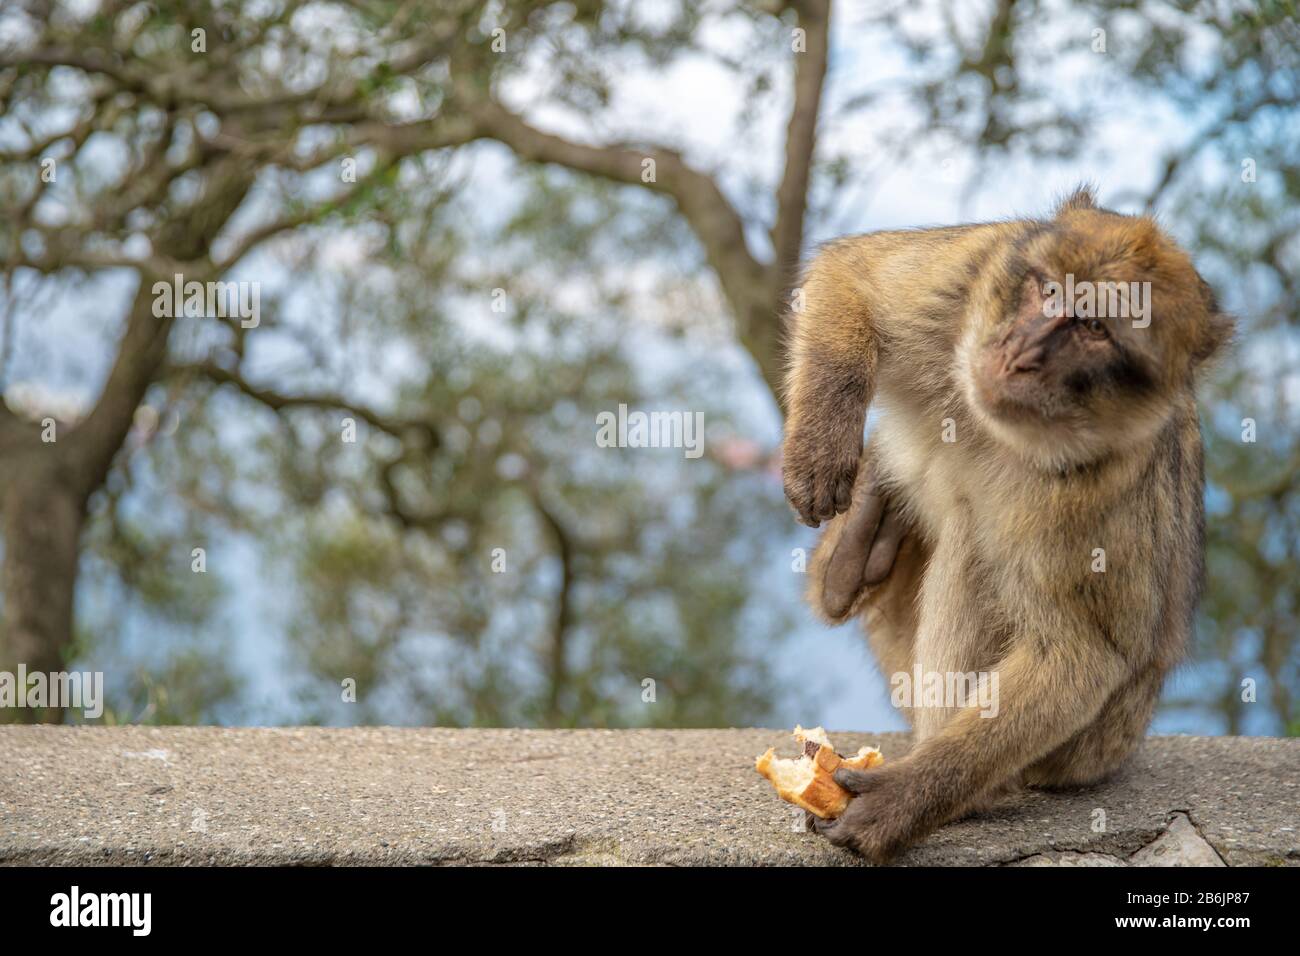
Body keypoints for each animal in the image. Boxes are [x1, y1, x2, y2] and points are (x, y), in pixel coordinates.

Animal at [781, 186, 1233, 862]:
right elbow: (852, 271)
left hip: (1089, 749)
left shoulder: (1094, 487)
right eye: (1047, 290)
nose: (1021, 354)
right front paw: (821, 442)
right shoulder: (971, 271)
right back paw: (856, 548)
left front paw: (903, 799)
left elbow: (1077, 657)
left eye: (1094, 328)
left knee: (974, 545)